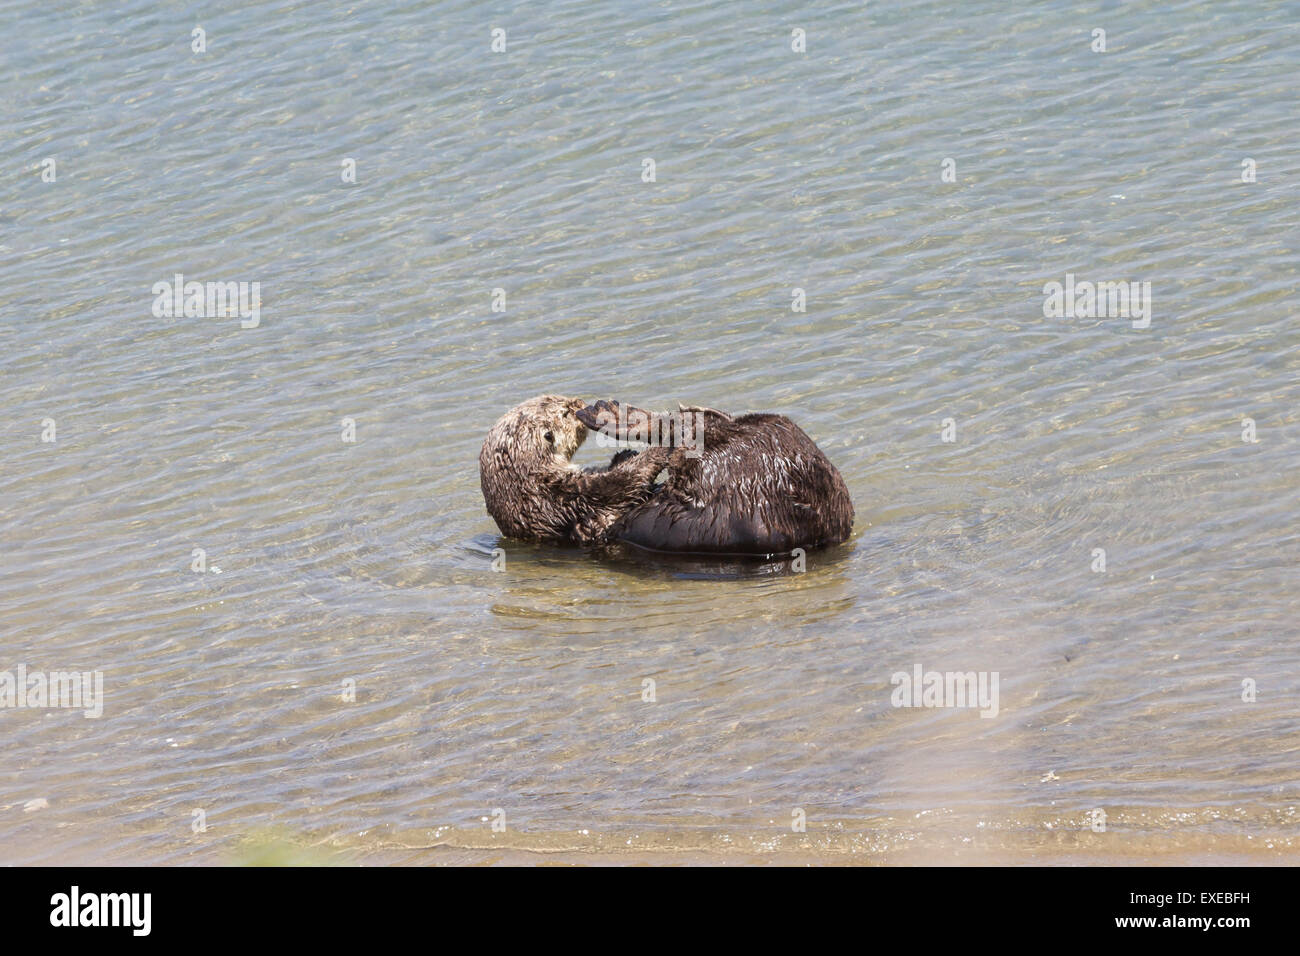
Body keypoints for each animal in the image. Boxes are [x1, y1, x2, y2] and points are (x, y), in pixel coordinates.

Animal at [479, 395, 854, 556]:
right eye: (561, 411)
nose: (575, 403)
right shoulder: (575, 495)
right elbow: (623, 483)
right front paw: (649, 455)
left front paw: (625, 454)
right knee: (690, 431)